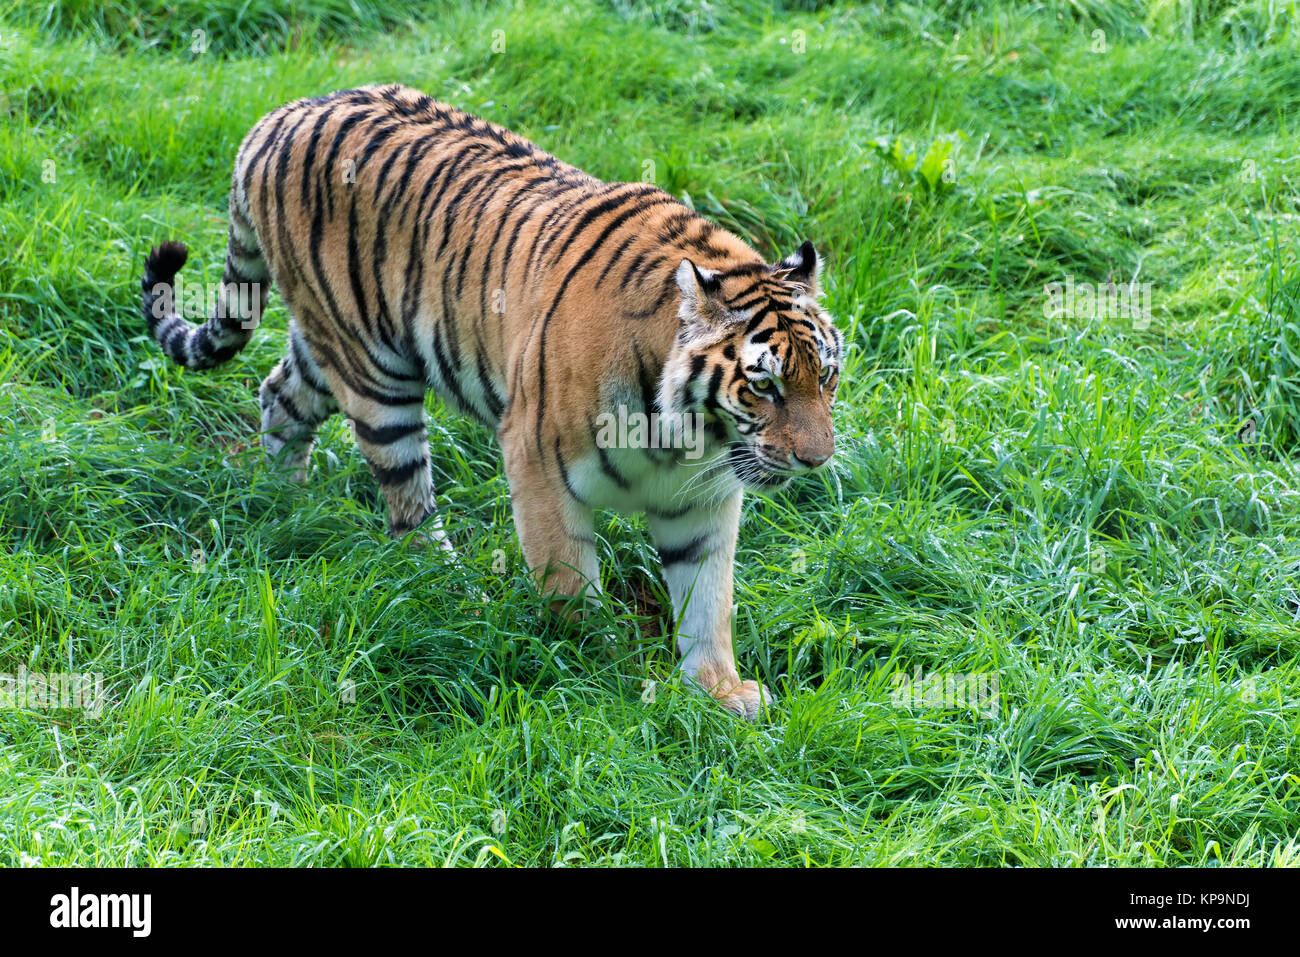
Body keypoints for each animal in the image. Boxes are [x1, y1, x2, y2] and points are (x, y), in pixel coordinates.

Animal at [140, 84, 842, 718]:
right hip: (374, 373)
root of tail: (279, 115)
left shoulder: (703, 498)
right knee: (408, 509)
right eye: (763, 384)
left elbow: (708, 600)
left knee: (279, 395)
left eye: (827, 377)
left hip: (330, 343)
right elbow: (570, 588)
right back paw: (453, 589)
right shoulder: (540, 467)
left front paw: (721, 691)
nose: (817, 461)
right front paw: (605, 678)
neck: (689, 436)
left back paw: (285, 498)